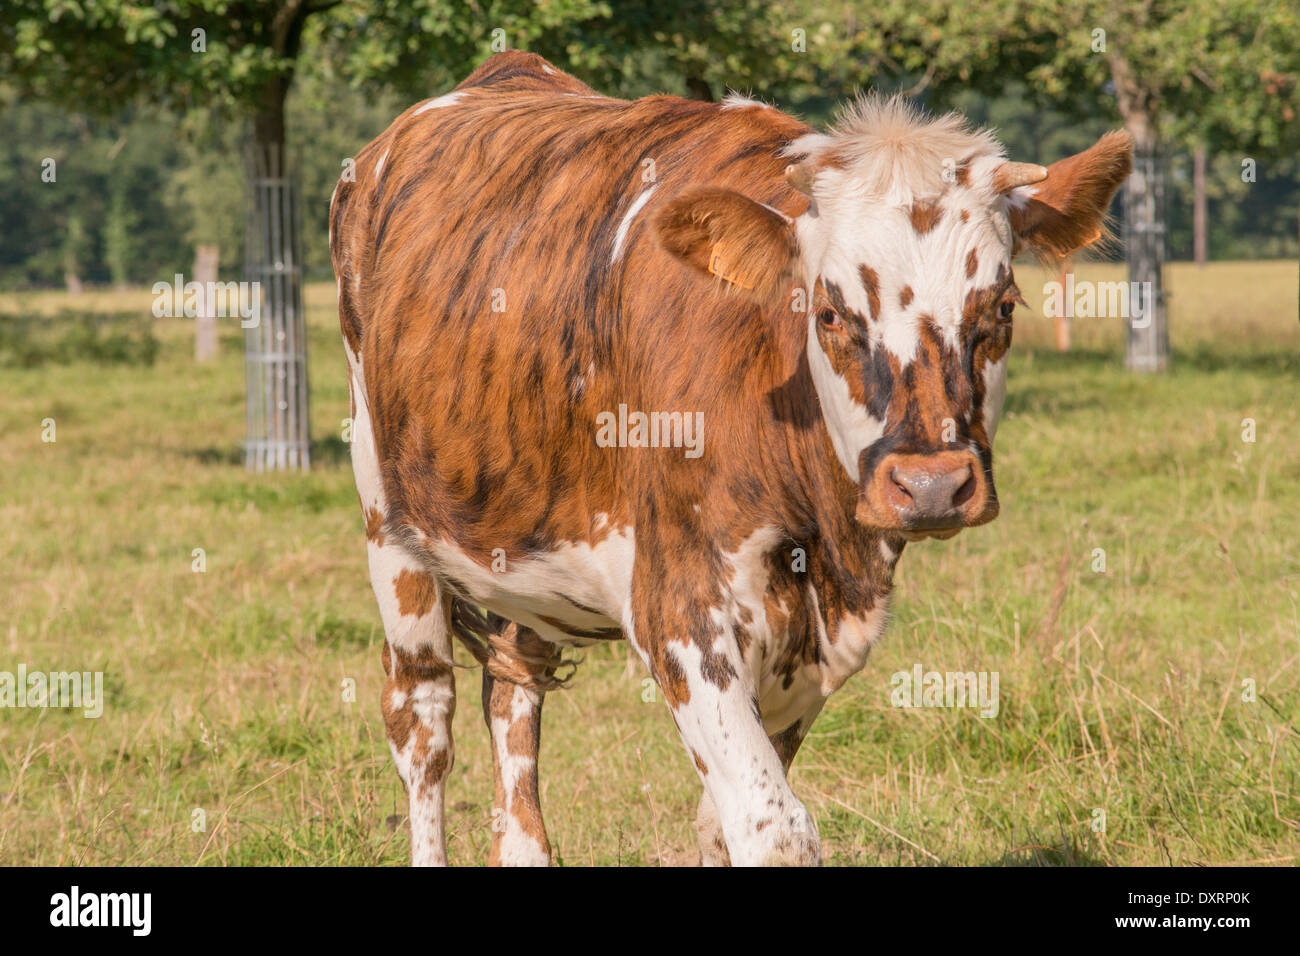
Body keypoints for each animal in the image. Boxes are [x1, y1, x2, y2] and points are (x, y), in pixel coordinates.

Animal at [329, 51, 1132, 866]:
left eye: (1000, 307)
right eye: (829, 312)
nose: (932, 485)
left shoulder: (814, 646)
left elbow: (721, 822)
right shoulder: (679, 608)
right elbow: (771, 826)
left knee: (514, 693)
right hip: (389, 528)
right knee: (424, 724)